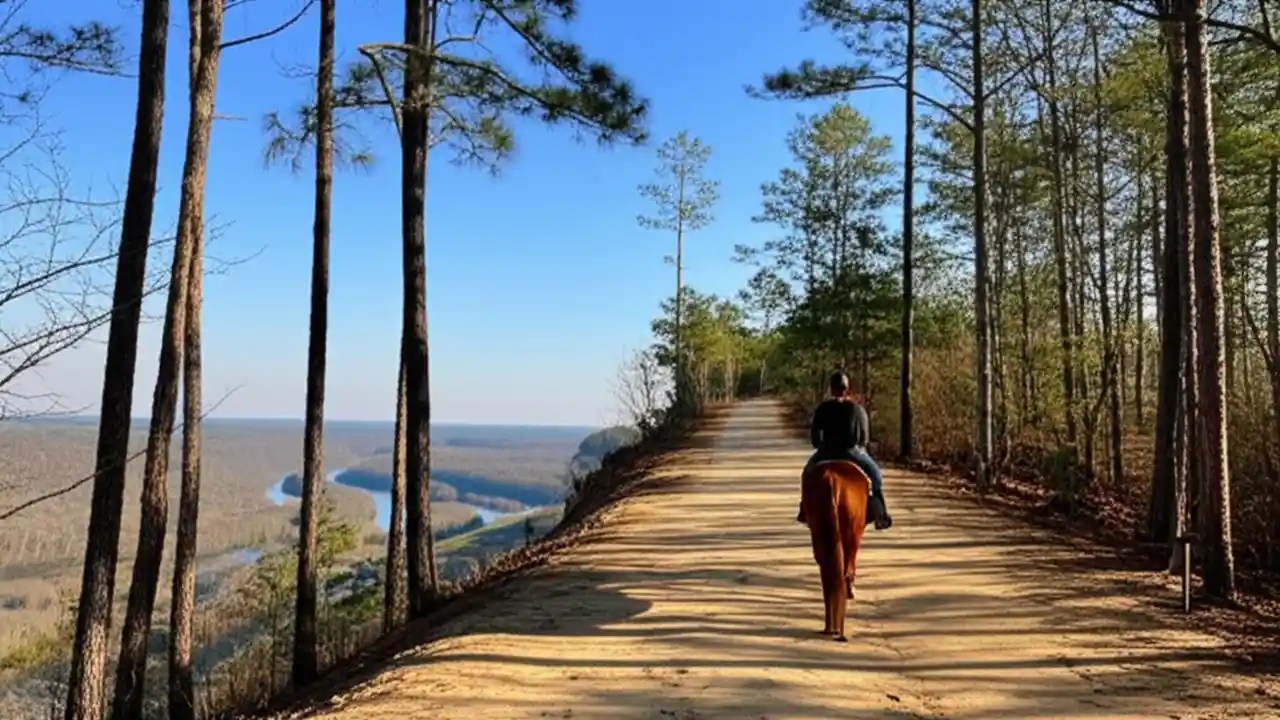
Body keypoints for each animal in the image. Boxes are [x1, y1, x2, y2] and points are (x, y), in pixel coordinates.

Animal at [799, 460, 870, 642]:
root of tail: (830, 478)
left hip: (822, 533)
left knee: (829, 572)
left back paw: (831, 628)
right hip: (851, 534)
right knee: (843, 571)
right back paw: (838, 629)